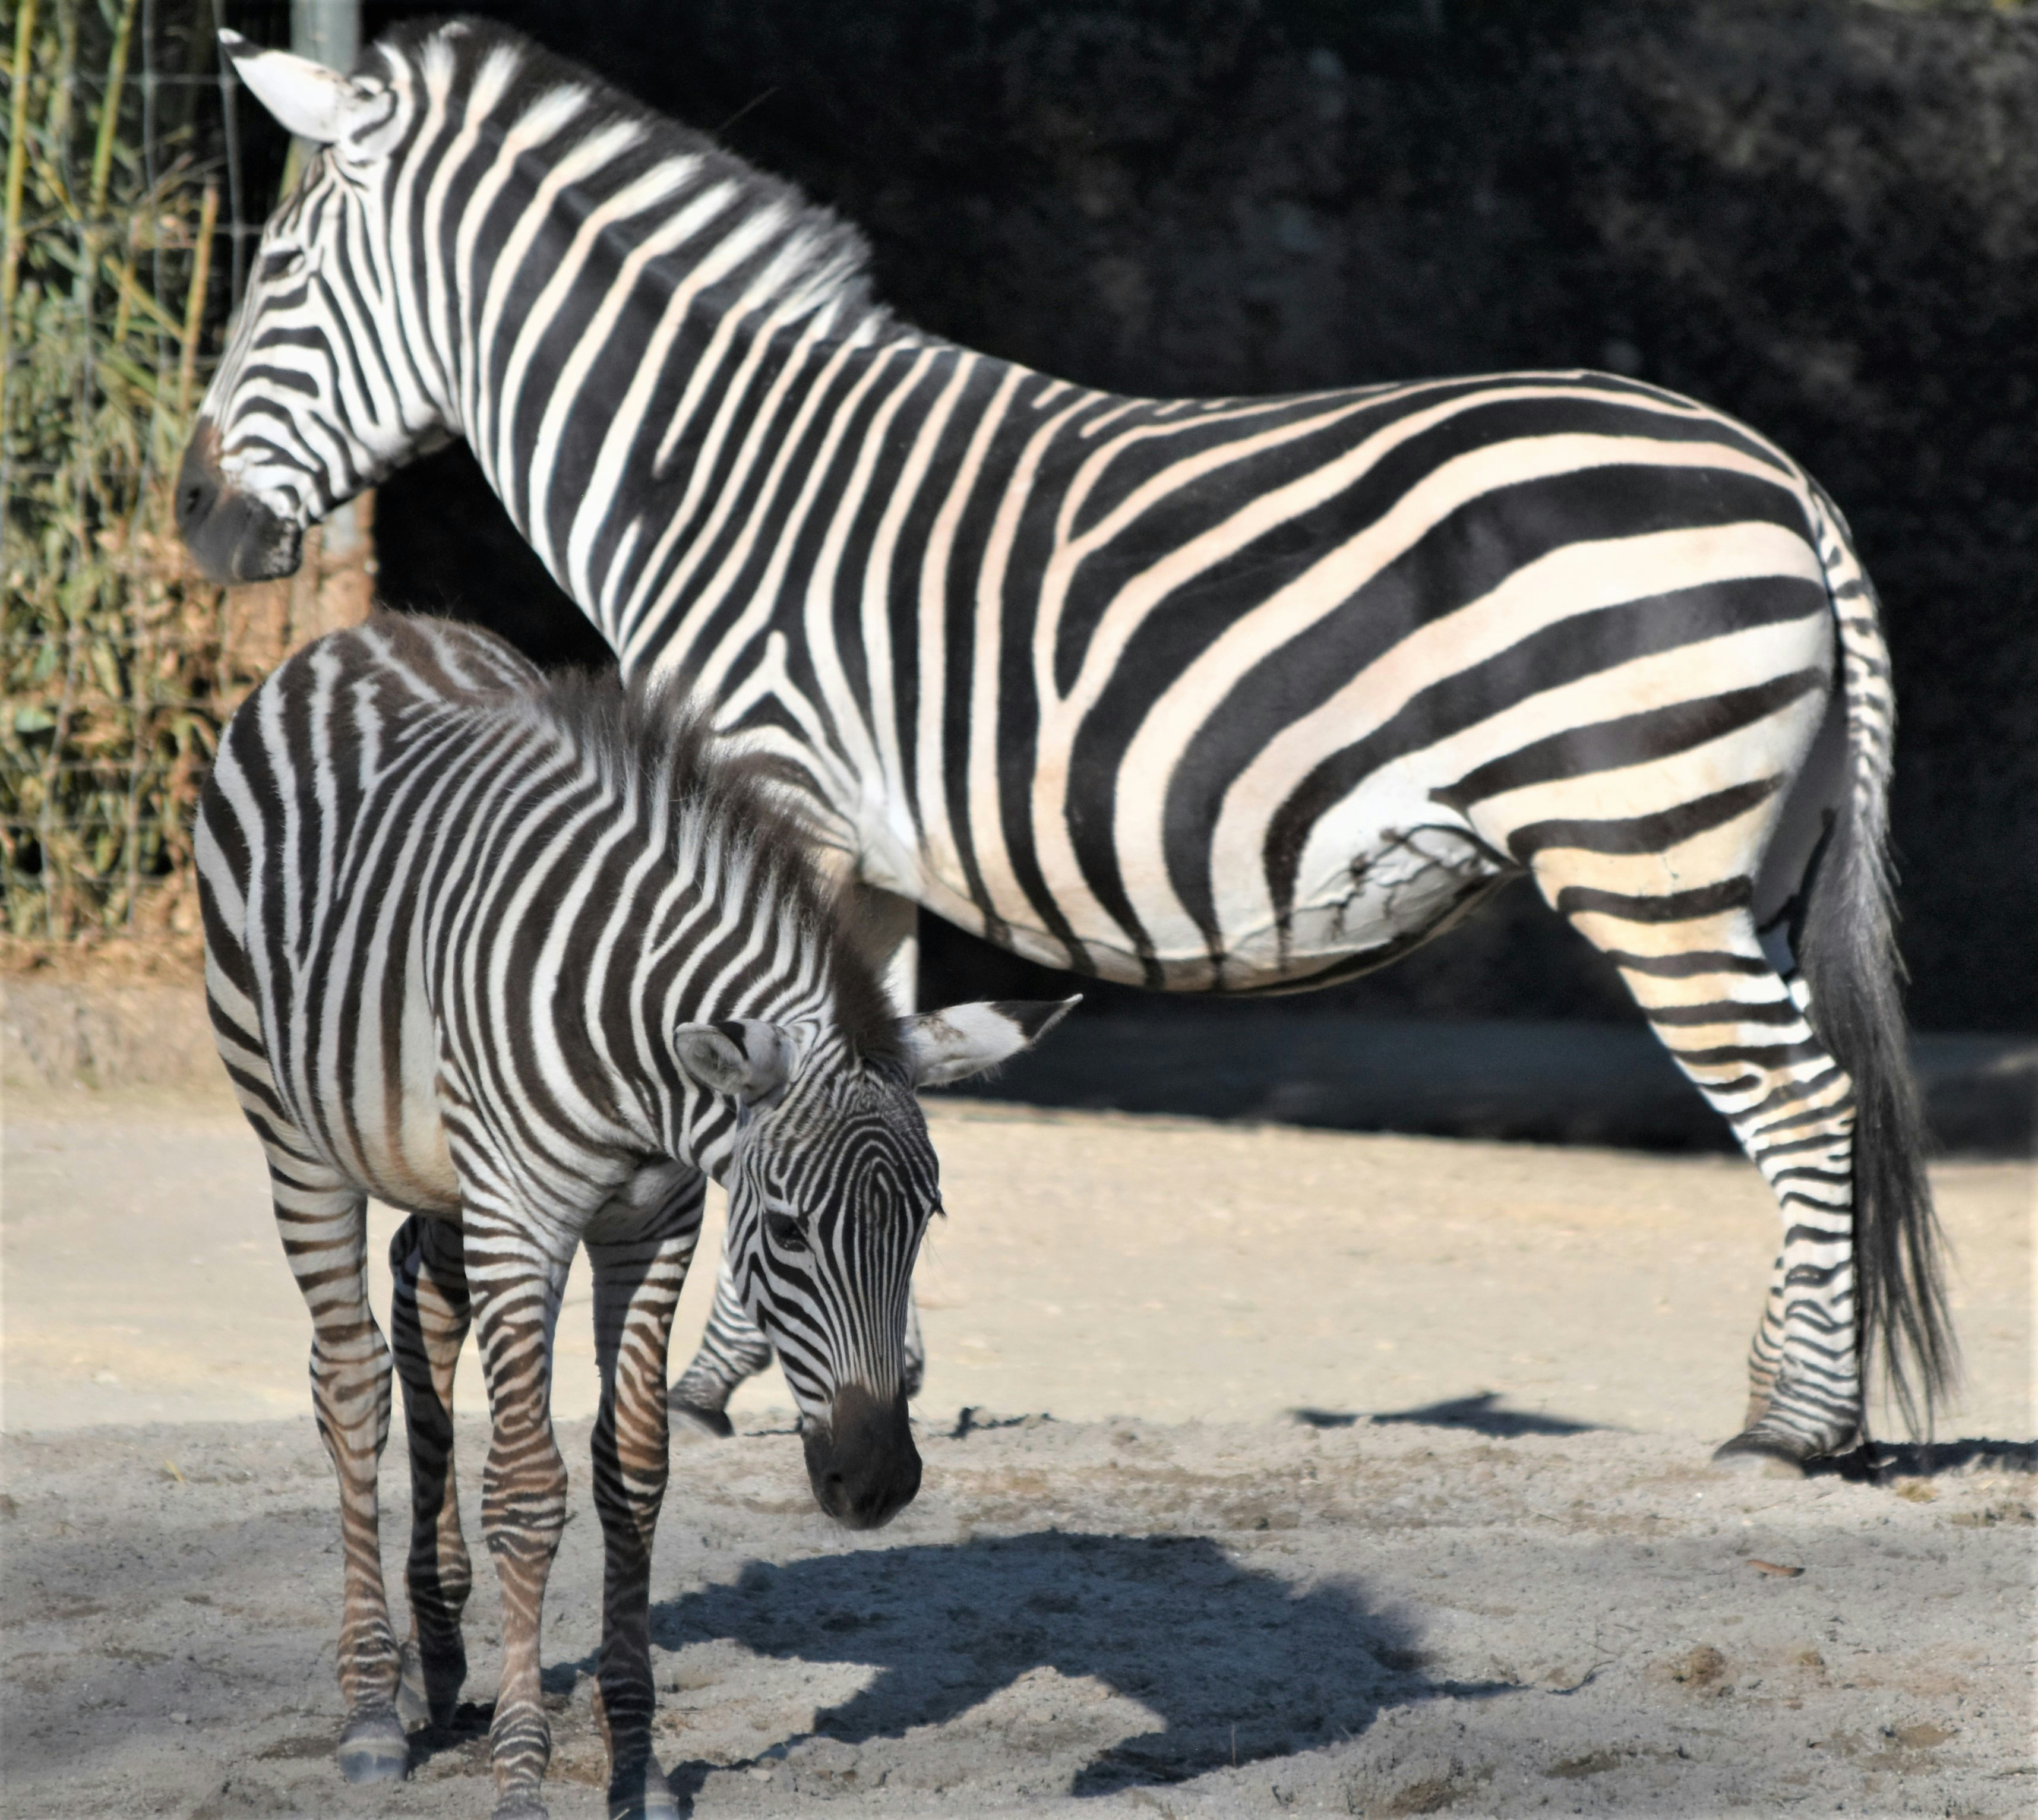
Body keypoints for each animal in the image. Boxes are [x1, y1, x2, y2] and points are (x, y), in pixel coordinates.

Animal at [179, 19, 1955, 1472]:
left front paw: (709, 1385)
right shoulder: (858, 850)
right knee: (1824, 1099)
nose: (195, 524)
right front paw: (838, 1371)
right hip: (1745, 864)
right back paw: (1811, 1410)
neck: (708, 468)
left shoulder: (773, 791)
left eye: (276, 277)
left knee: (1799, 1104)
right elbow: (859, 1077)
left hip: (1640, 845)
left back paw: (1789, 1434)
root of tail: (1774, 469)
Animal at [196, 611, 1071, 1819]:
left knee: (421, 1302)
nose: (877, 1485)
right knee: (350, 1379)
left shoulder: (656, 1226)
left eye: (926, 1224)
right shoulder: (522, 1217)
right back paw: (372, 1705)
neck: (637, 1060)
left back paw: (443, 1651)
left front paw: (637, 1762)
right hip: (296, 1134)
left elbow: (633, 1477)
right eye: (786, 1230)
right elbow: (529, 1487)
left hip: (440, 1169)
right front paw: (523, 1771)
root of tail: (369, 630)